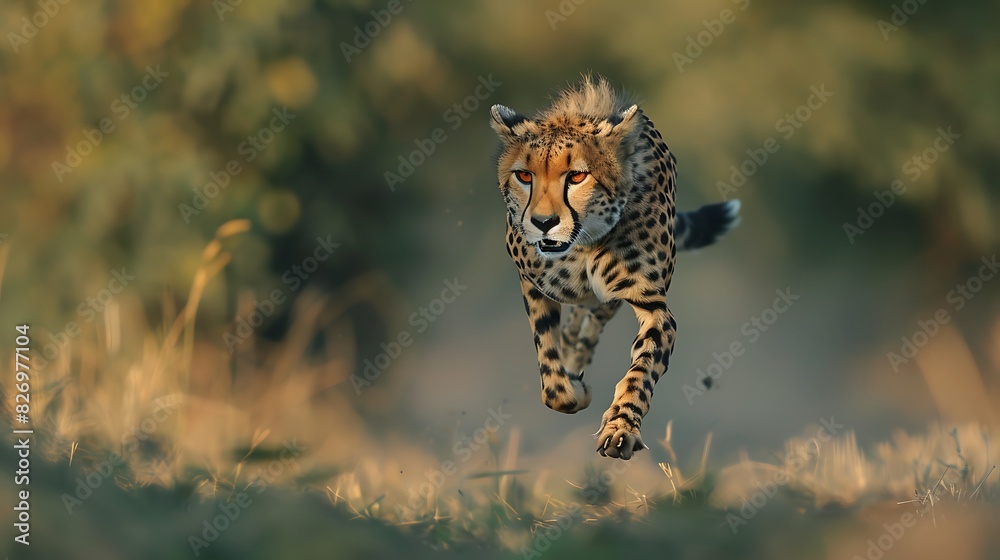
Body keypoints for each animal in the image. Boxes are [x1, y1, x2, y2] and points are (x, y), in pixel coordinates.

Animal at [488, 76, 741, 460]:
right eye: (524, 175)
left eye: (577, 176)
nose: (543, 223)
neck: (580, 247)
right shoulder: (532, 281)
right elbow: (550, 363)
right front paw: (573, 390)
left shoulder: (653, 306)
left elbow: (641, 370)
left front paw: (621, 428)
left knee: (593, 320)